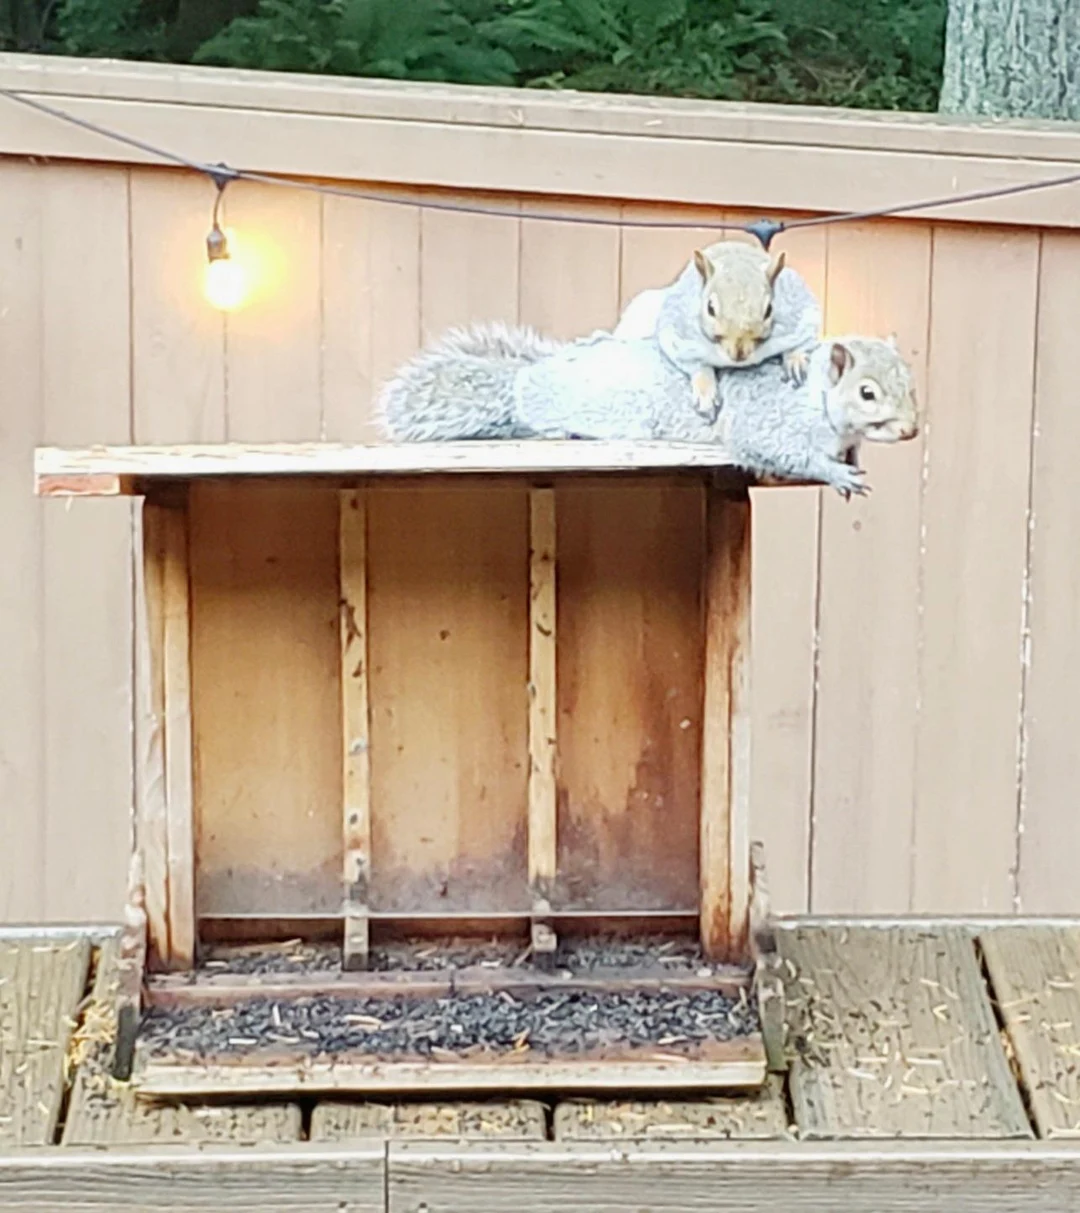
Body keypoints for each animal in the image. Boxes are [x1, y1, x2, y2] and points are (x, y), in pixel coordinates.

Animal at [376, 323, 917, 498]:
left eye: (910, 380)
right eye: (867, 393)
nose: (912, 430)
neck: (817, 400)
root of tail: (526, 383)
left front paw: (851, 462)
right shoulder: (769, 420)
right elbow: (780, 451)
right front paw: (835, 472)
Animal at [613, 240, 822, 423]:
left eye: (769, 309)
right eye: (710, 308)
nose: (739, 354)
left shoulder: (801, 317)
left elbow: (804, 341)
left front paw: (795, 361)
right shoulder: (678, 335)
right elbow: (696, 366)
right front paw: (706, 394)